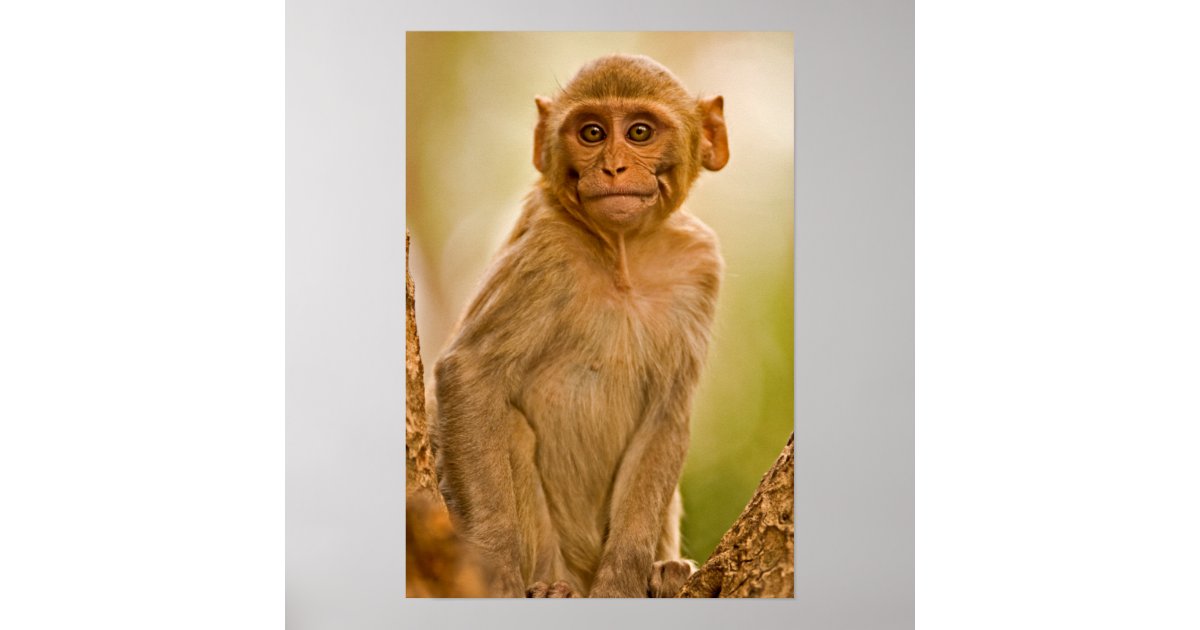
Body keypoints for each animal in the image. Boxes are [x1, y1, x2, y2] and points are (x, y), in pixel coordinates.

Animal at [431, 54, 729, 598]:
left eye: (639, 132)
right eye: (591, 133)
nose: (612, 167)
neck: (623, 254)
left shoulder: (701, 265)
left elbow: (666, 415)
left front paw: (623, 581)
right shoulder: (546, 250)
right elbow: (470, 373)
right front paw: (495, 564)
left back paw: (665, 572)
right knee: (510, 427)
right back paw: (552, 585)